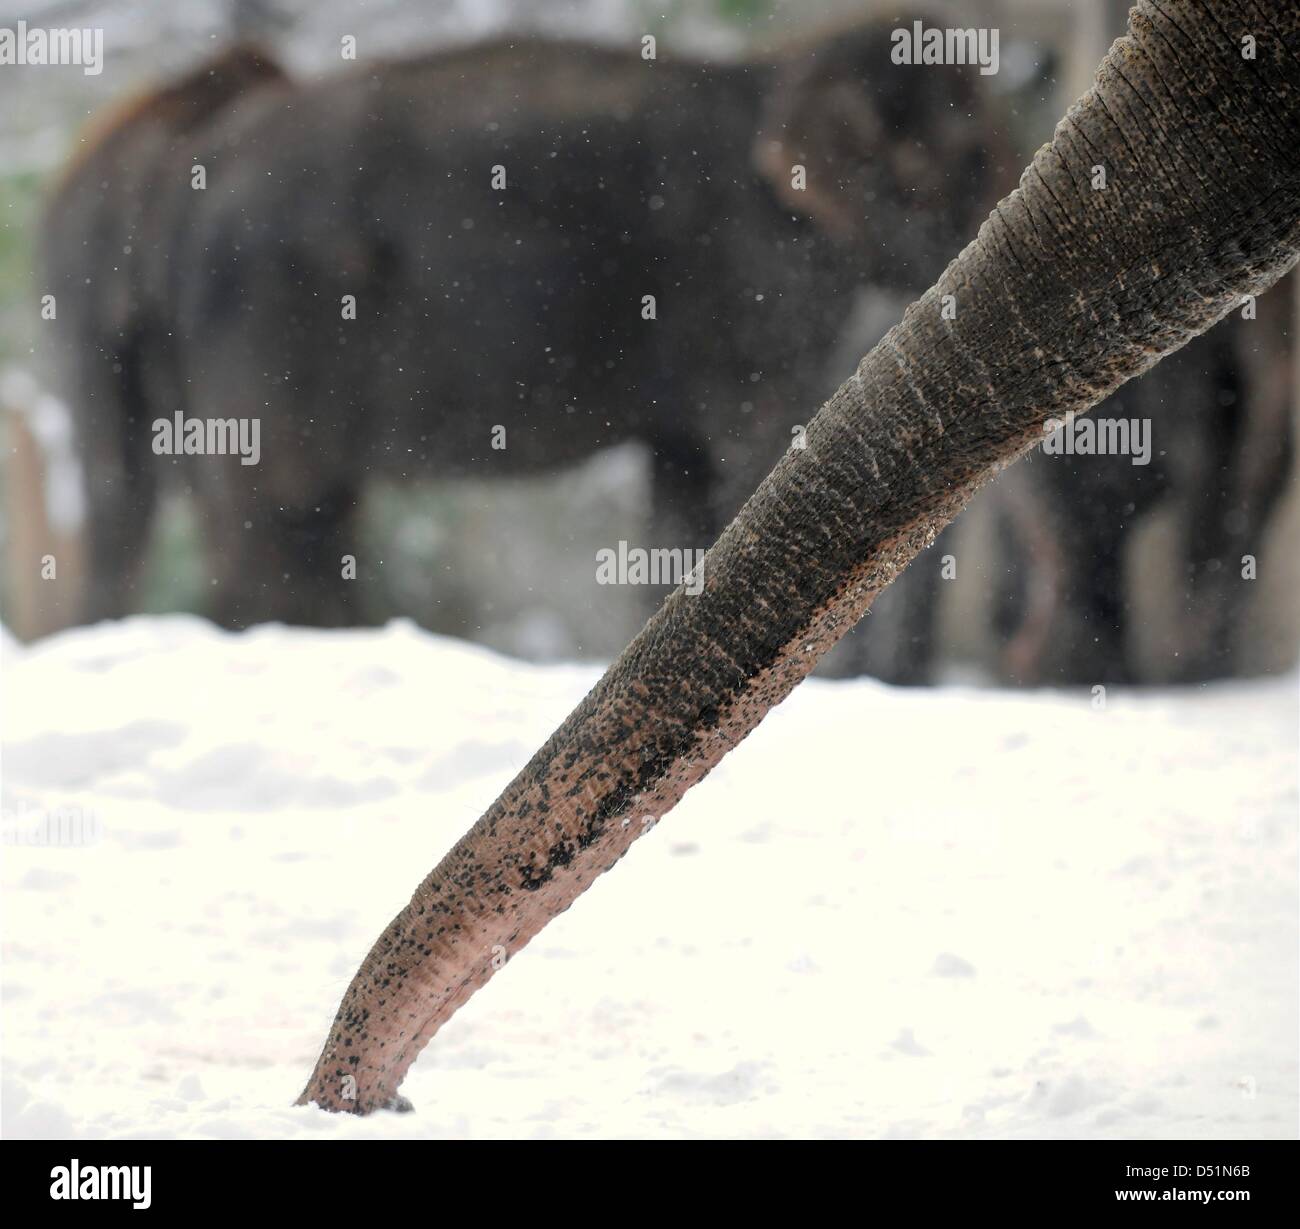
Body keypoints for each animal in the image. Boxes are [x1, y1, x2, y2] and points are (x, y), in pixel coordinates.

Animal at [42, 20, 1010, 630]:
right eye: (967, 158)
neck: (784, 63)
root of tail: (186, 161)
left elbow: (686, 483)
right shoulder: (756, 287)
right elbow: (750, 452)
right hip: (267, 330)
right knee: (274, 518)